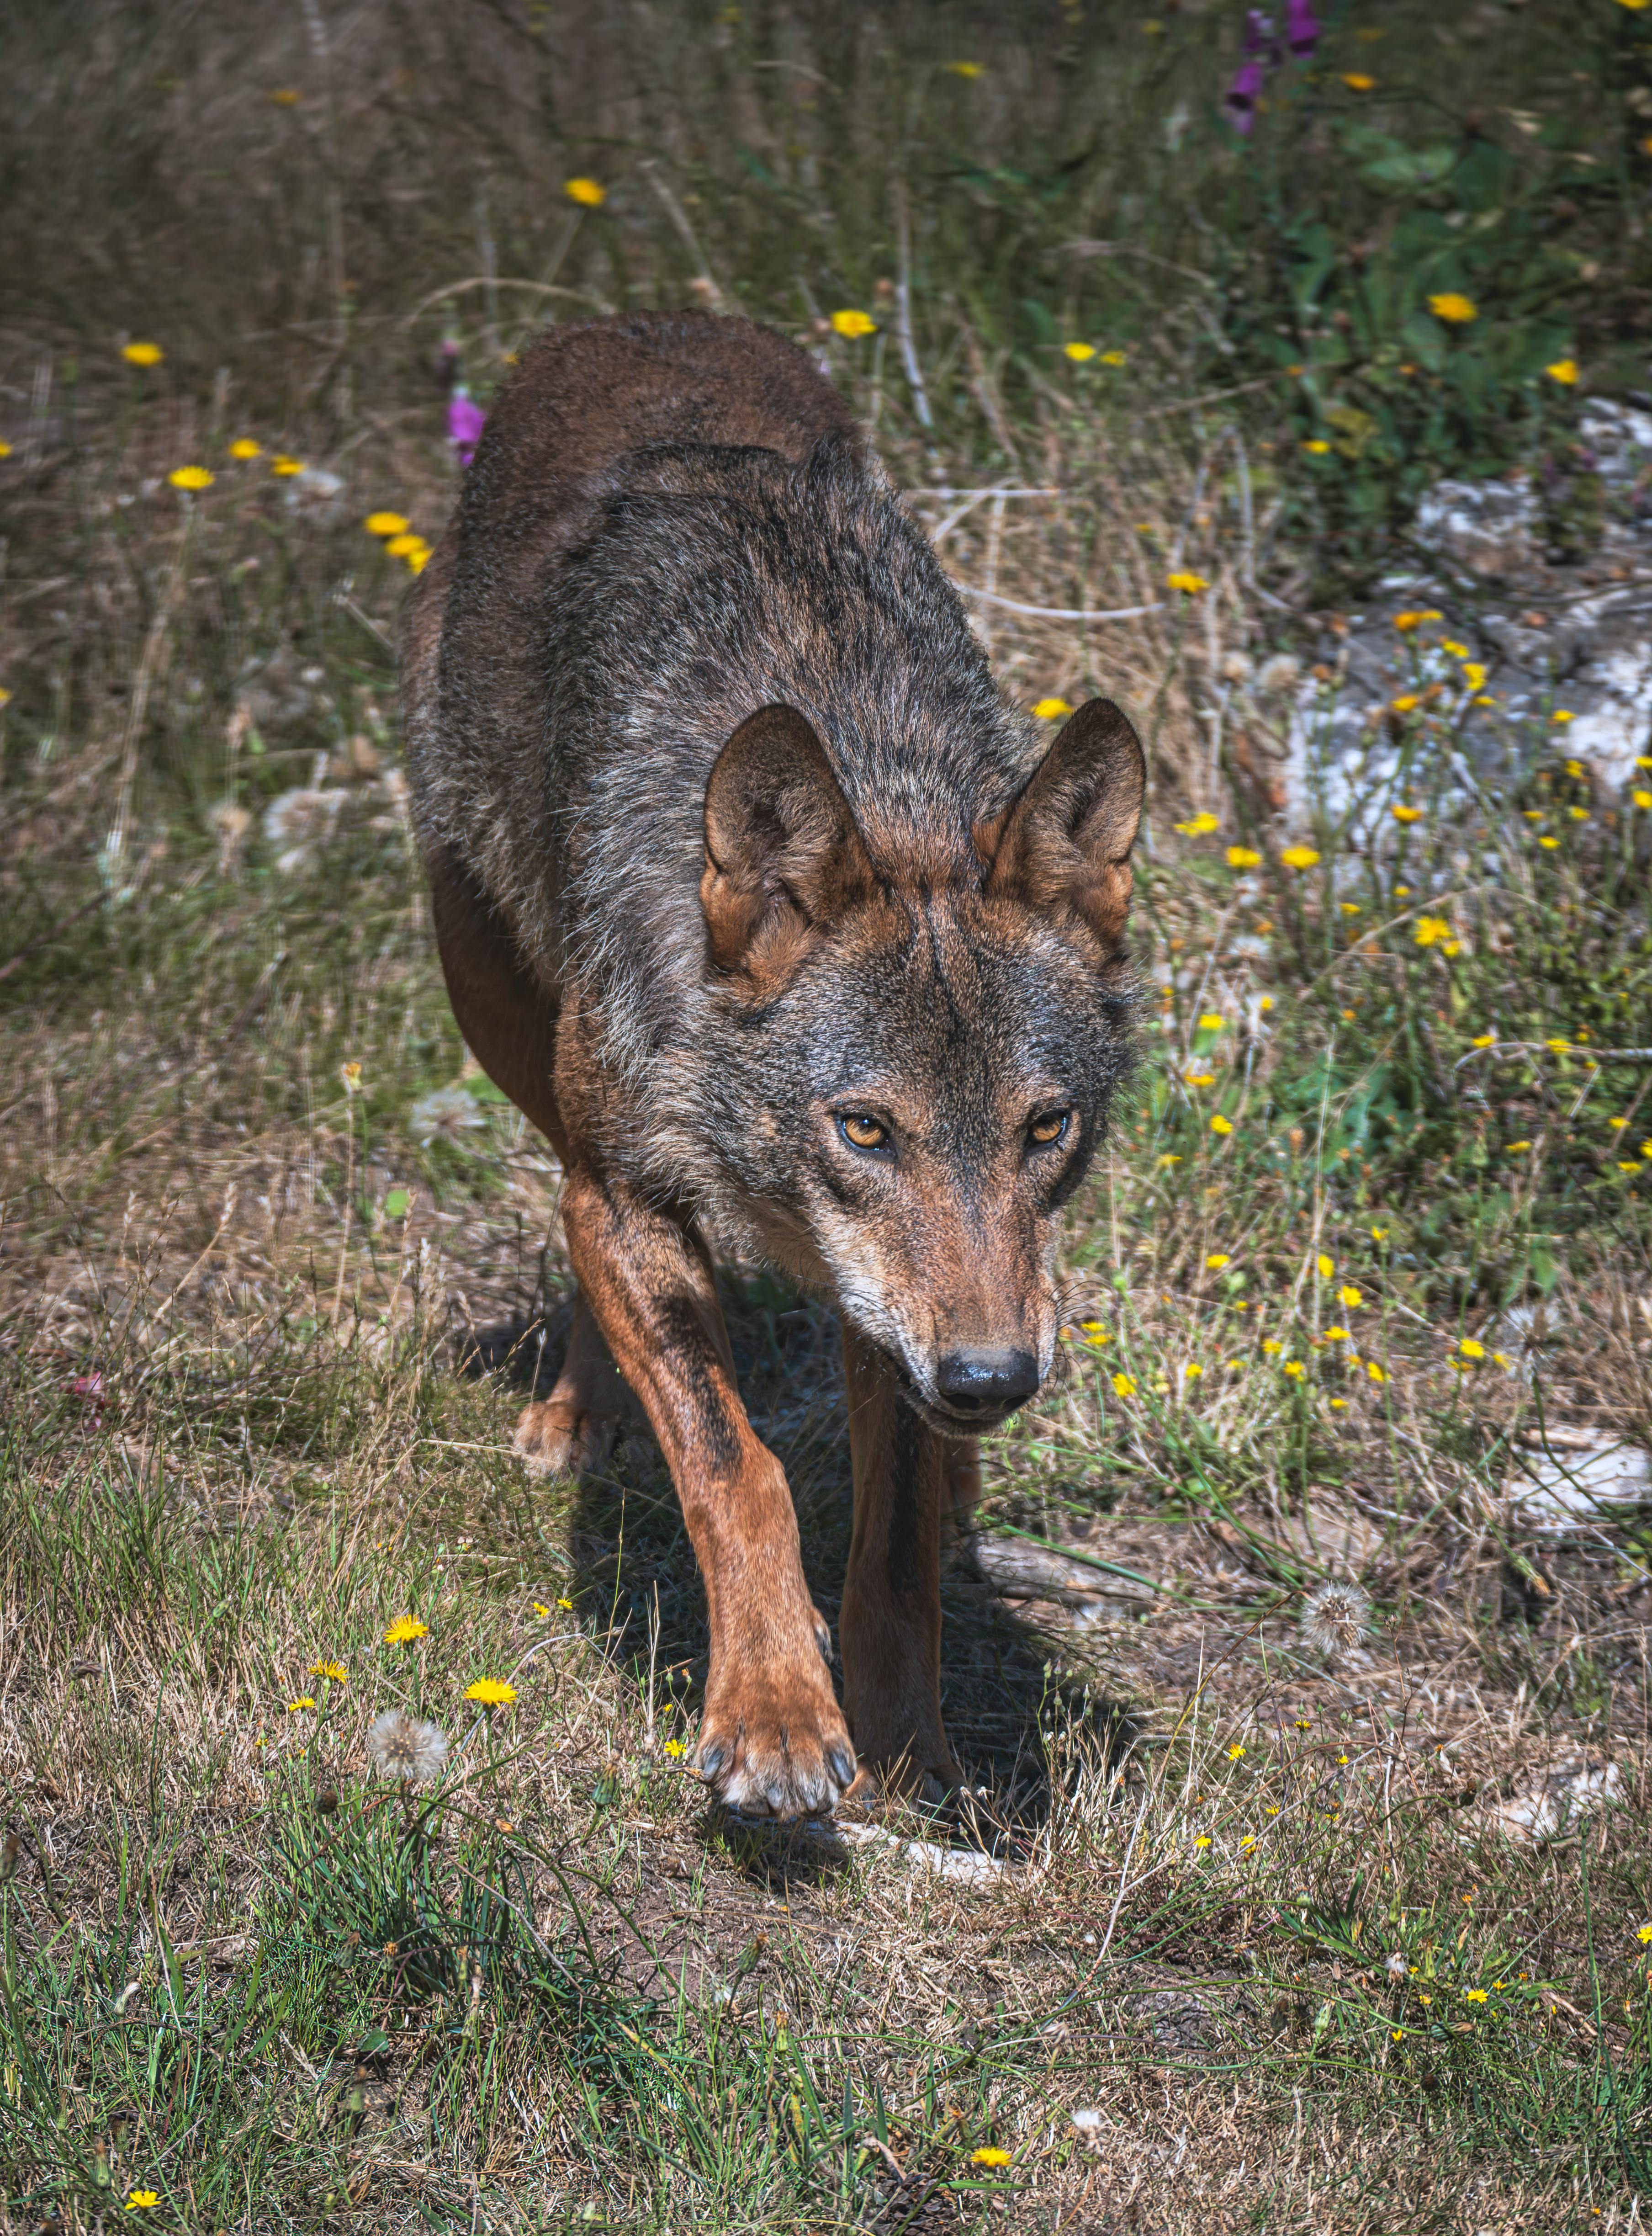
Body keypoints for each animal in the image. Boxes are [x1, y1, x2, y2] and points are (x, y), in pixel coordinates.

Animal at [402, 311, 1144, 1820]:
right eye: (865, 1129)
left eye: (1044, 1128)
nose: (993, 1379)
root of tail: (636, 322)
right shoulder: (632, 1195)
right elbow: (734, 1463)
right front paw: (777, 1715)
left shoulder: (900, 1312)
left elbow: (896, 1547)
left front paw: (913, 1753)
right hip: (507, 1023)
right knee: (571, 1217)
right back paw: (583, 1418)